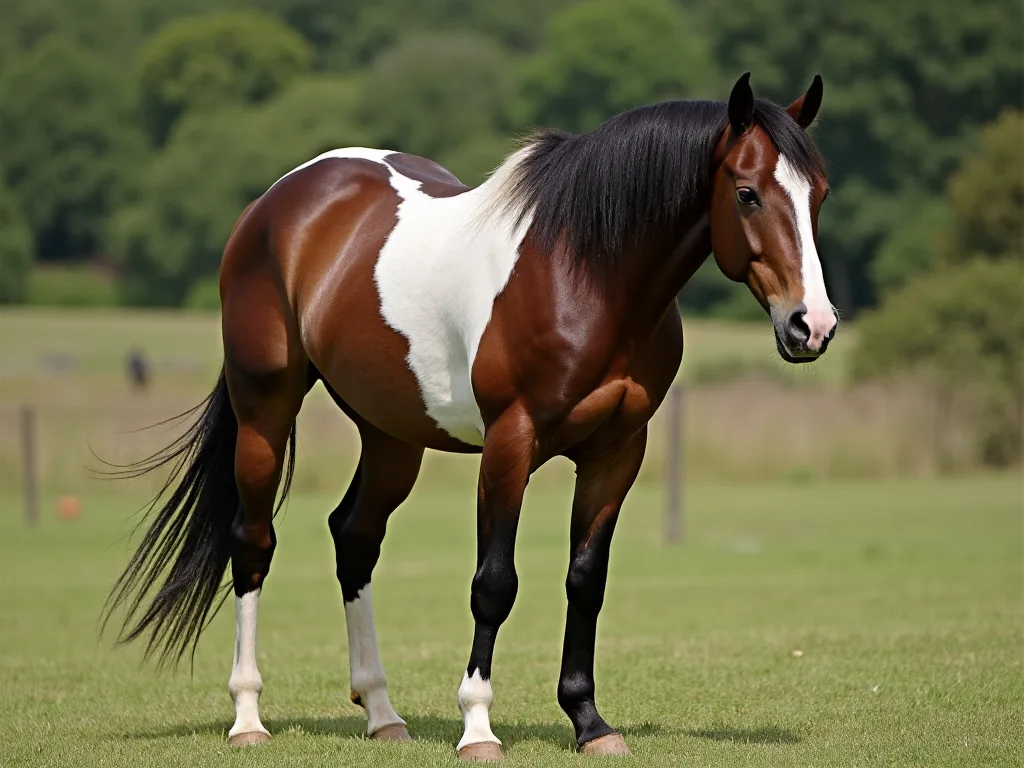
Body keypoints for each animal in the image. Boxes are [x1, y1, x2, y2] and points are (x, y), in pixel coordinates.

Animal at [104, 72, 837, 761]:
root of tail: (277, 202)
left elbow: (585, 581)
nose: (813, 325)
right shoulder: (511, 443)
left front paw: (589, 723)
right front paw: (478, 726)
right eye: (747, 193)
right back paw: (248, 716)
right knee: (253, 542)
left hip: (391, 435)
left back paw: (382, 713)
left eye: (820, 195)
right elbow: (494, 583)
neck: (584, 272)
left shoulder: (617, 450)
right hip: (266, 408)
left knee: (355, 537)